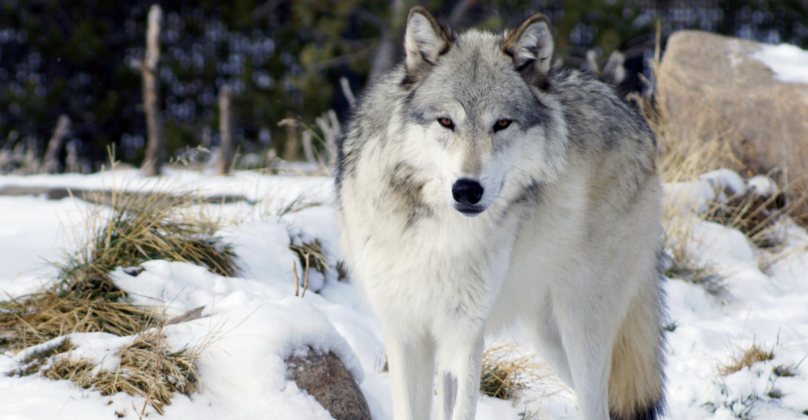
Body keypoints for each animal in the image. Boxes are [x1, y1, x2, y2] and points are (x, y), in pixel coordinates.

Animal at [335, 7, 666, 420]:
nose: (467, 189)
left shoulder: (466, 332)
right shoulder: (405, 330)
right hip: (548, 336)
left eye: (502, 123)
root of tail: (638, 121)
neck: (438, 235)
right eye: (447, 121)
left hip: (580, 327)